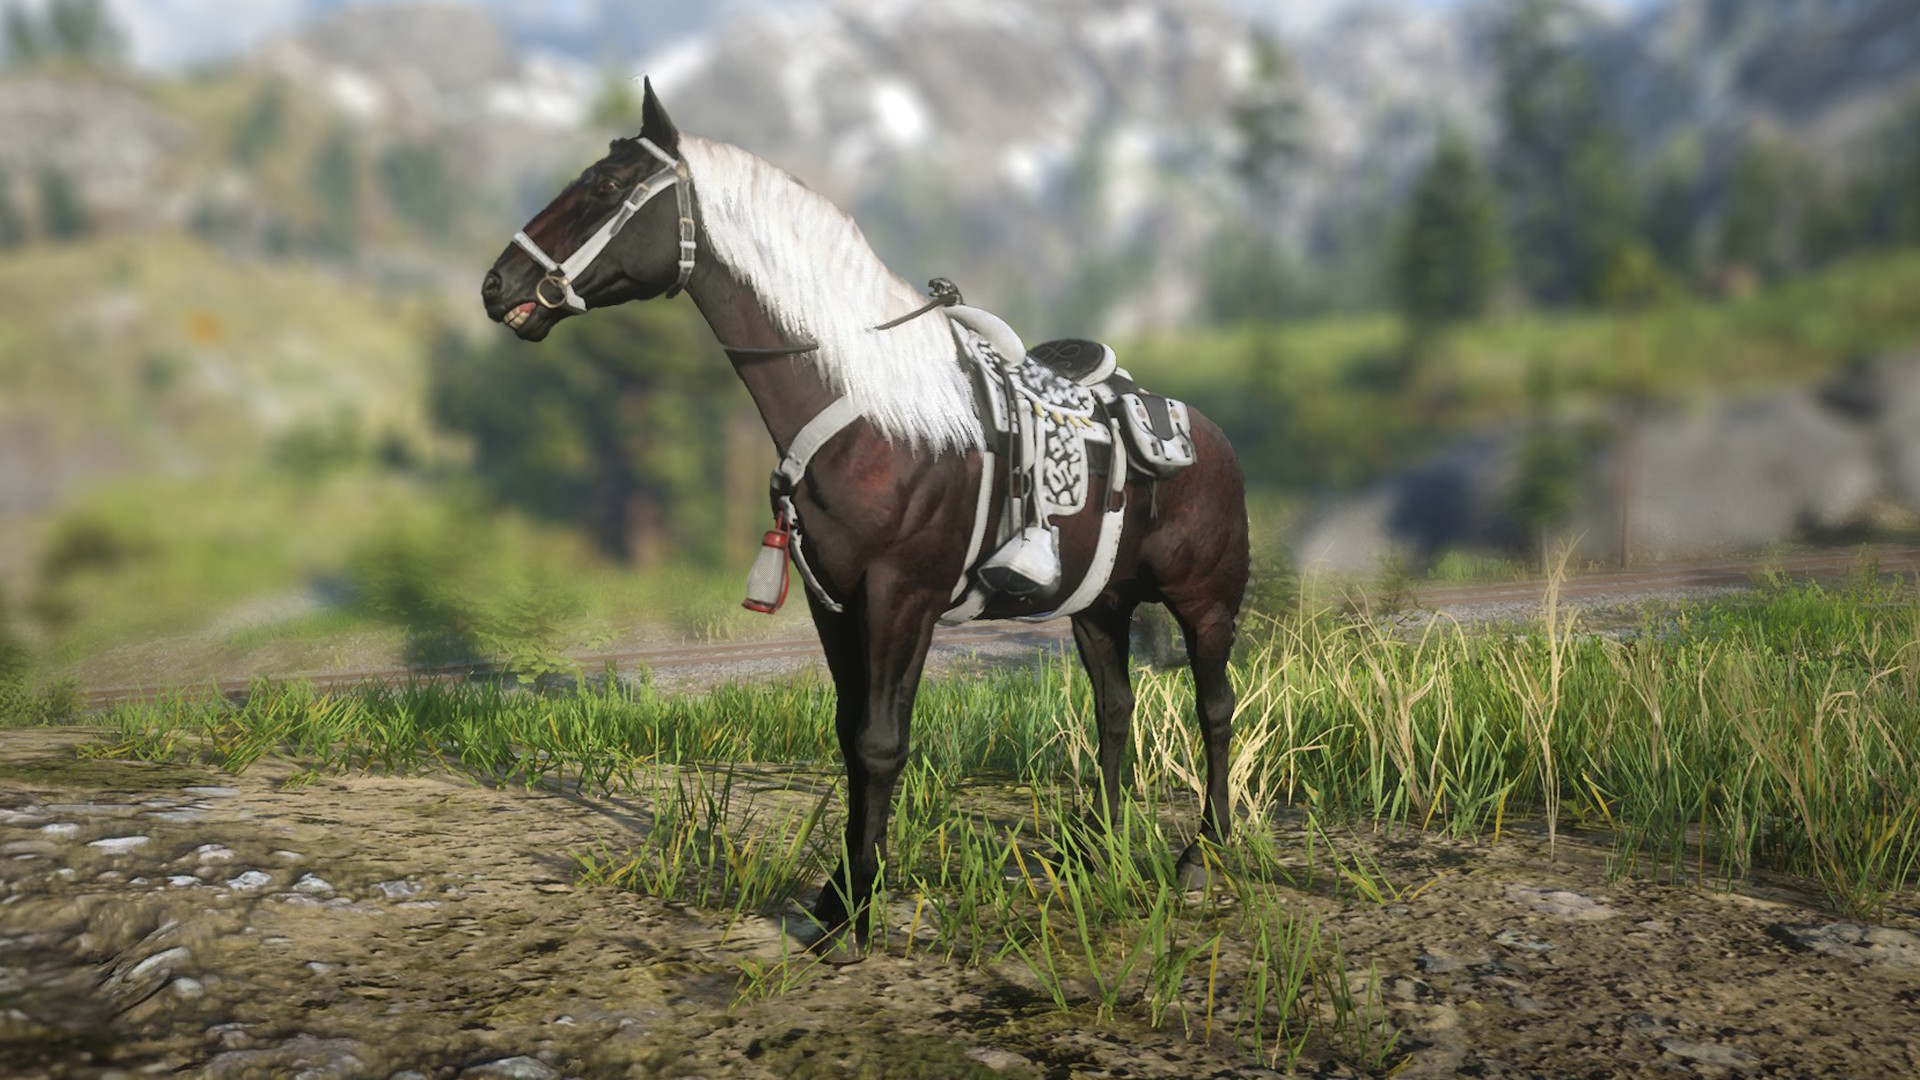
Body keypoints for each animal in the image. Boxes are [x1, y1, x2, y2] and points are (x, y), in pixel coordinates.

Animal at [480, 81, 1249, 949]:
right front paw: (836, 898)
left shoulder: (901, 596)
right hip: (1098, 606)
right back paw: (1097, 846)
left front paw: (856, 913)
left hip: (1205, 603)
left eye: (608, 187)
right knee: (1115, 707)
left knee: (1216, 709)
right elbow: (853, 737)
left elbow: (882, 743)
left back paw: (1203, 856)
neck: (871, 409)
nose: (497, 287)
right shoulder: (835, 600)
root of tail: (1208, 434)